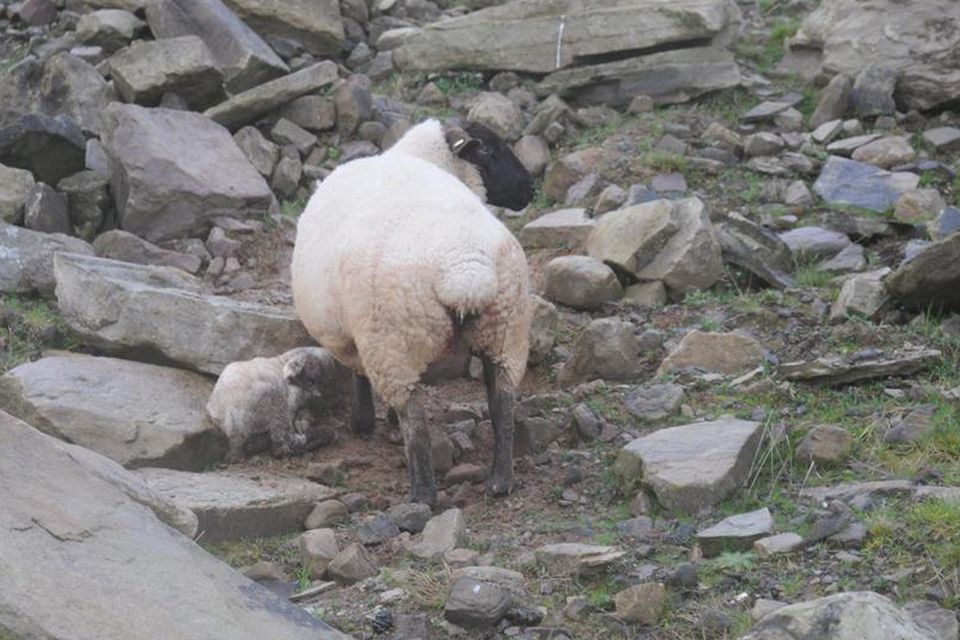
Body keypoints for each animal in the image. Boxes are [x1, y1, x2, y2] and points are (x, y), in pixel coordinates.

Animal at [291, 118, 535, 506]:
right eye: (487, 149)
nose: (530, 189)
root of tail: (465, 267)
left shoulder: (349, 334)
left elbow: (358, 375)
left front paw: (364, 422)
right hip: (506, 327)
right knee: (503, 402)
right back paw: (500, 479)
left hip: (392, 340)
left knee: (415, 421)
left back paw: (421, 495)